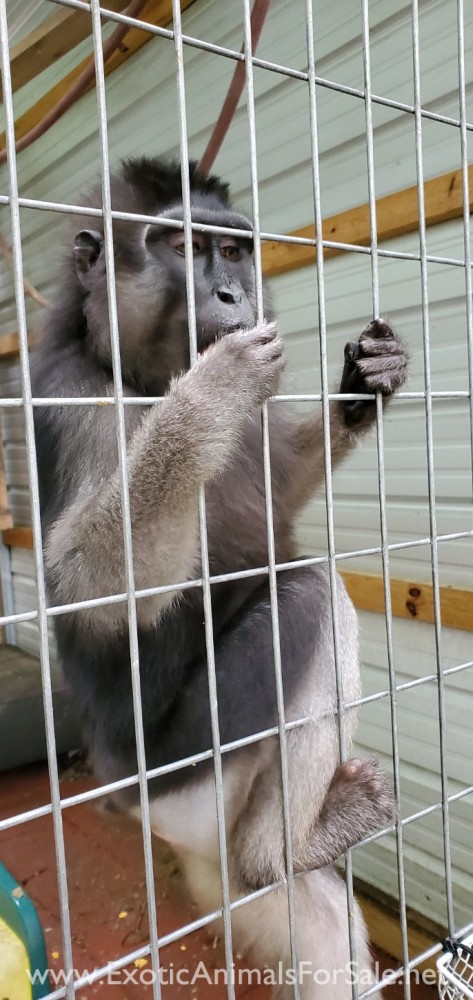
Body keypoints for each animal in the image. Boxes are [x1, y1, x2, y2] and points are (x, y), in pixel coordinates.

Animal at [31, 157, 408, 999]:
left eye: (232, 252)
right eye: (181, 247)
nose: (232, 295)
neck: (137, 373)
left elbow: (278, 487)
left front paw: (360, 387)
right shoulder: (75, 398)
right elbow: (91, 591)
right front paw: (207, 398)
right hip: (187, 782)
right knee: (309, 595)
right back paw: (281, 851)